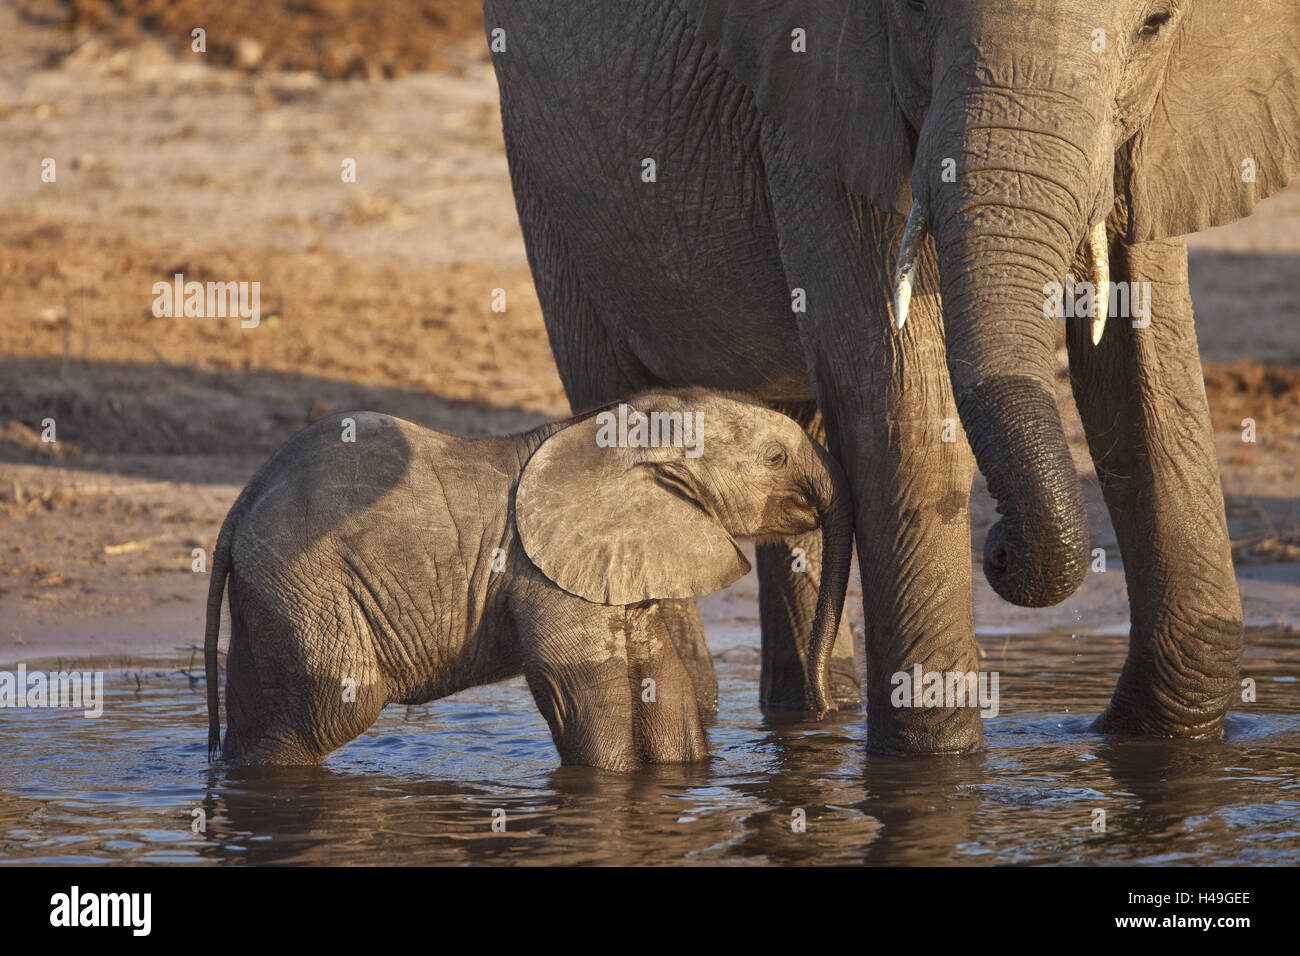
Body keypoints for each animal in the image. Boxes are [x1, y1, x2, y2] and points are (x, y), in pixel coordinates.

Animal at [203, 389, 852, 772]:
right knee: (342, 705)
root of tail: (240, 506)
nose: (823, 714)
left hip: (274, 589)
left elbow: (661, 679)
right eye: (774, 458)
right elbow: (580, 684)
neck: (618, 430)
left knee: (256, 706)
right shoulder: (541, 572)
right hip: (308, 580)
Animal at [483, 0, 1300, 752]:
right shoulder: (822, 97)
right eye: (911, 10)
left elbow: (1146, 381)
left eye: (1157, 24)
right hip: (547, 179)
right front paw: (935, 764)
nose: (998, 549)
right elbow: (901, 398)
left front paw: (1153, 743)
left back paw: (816, 715)